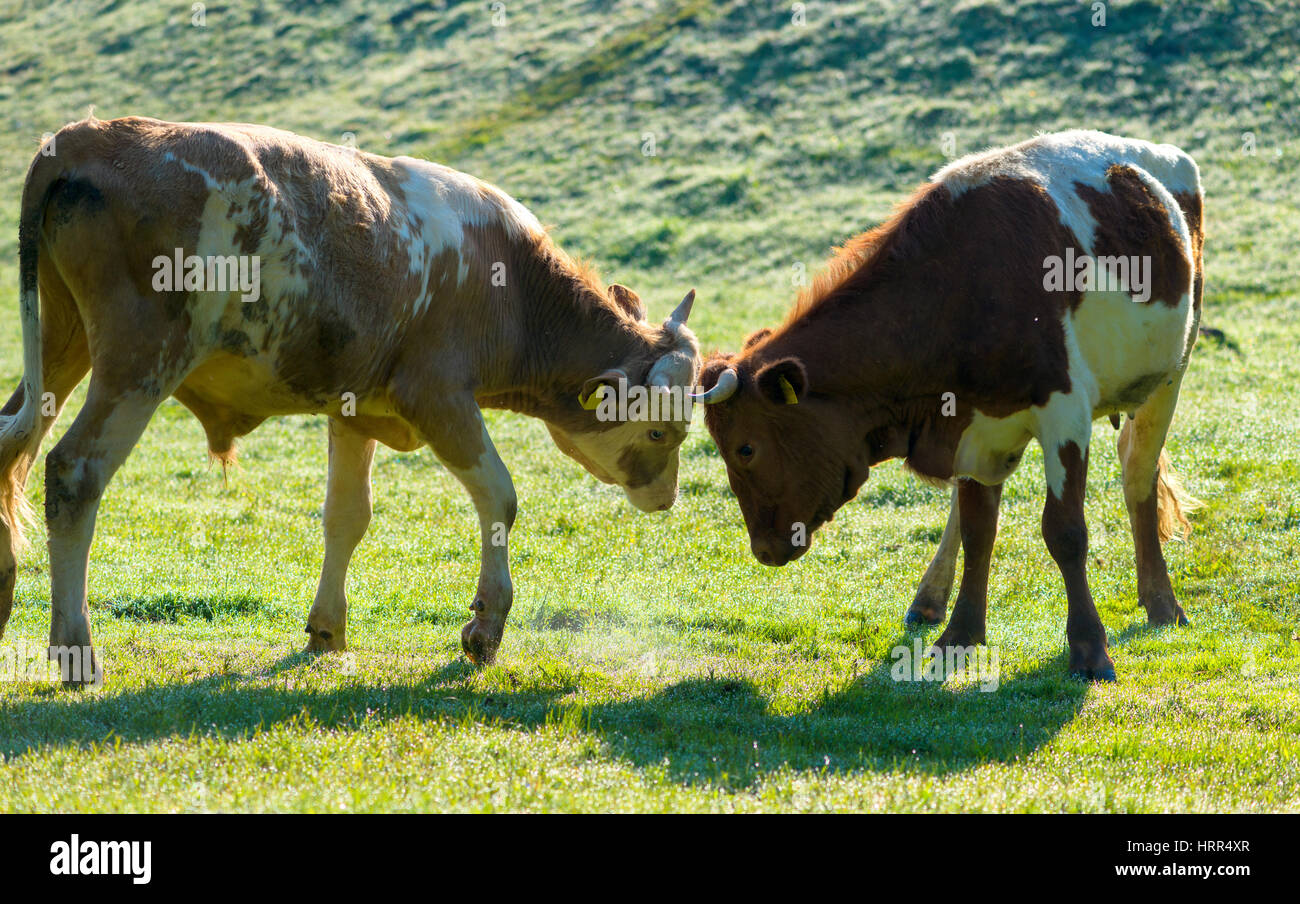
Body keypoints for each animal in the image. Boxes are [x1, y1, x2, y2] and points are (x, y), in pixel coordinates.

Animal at [0, 115, 702, 683]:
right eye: (661, 432)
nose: (665, 498)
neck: (506, 284)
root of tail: (89, 134)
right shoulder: (438, 396)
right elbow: (501, 497)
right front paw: (485, 628)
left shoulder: (357, 408)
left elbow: (347, 516)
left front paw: (327, 630)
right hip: (140, 362)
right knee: (74, 471)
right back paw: (76, 652)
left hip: (61, 347)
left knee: (14, 448)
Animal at [694, 130, 1204, 681]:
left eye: (745, 449)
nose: (764, 550)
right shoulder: (970, 428)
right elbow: (980, 529)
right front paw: (960, 635)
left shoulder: (1064, 411)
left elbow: (1066, 532)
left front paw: (1089, 649)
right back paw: (930, 599)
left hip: (1171, 374)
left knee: (1138, 475)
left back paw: (1161, 601)